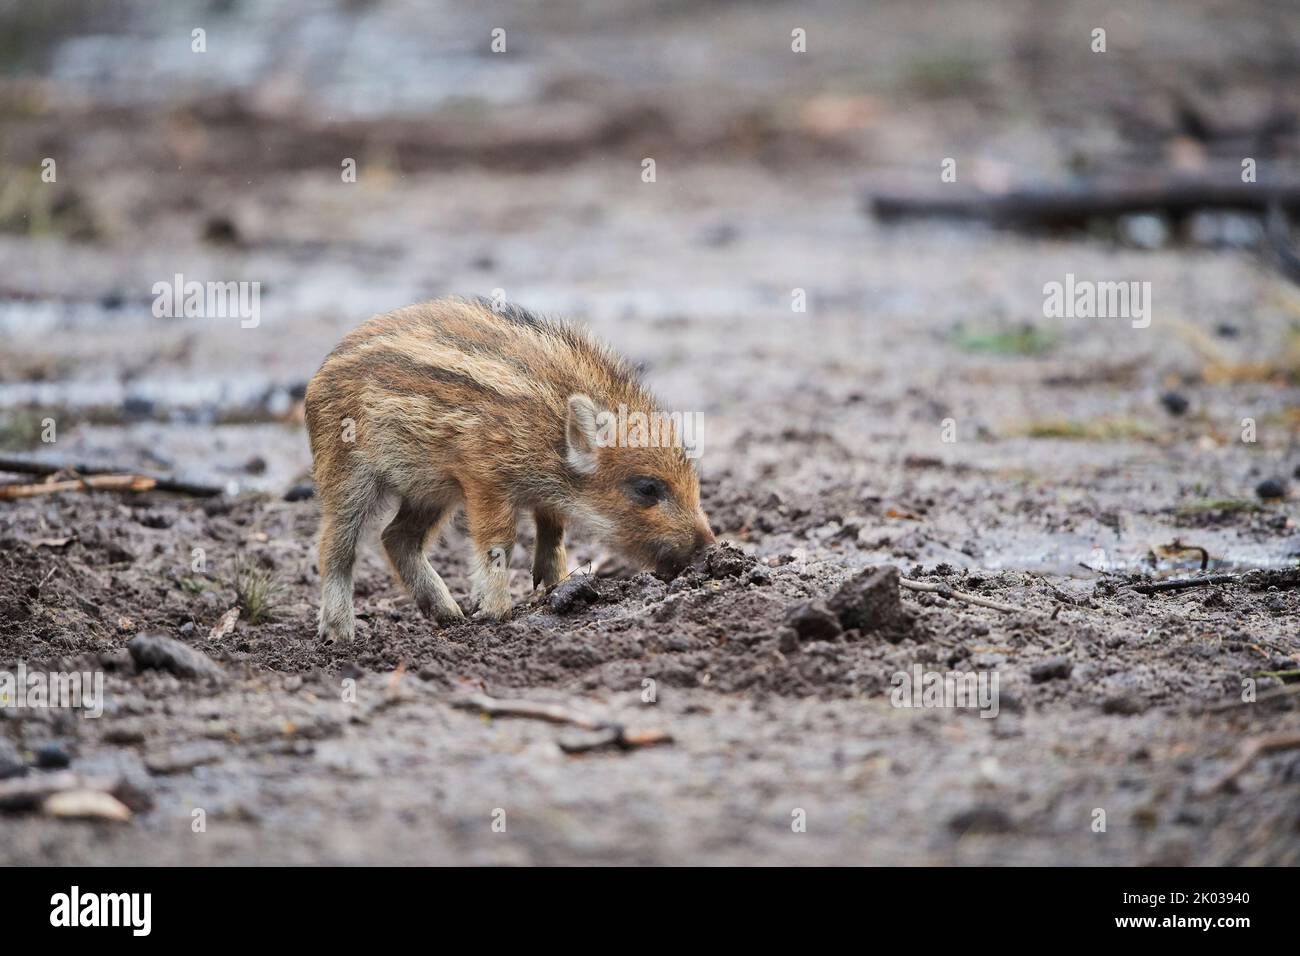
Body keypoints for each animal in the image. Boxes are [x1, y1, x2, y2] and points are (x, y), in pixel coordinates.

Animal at [304, 296, 715, 642]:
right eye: (647, 488)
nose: (708, 549)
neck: (550, 430)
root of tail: (321, 372)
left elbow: (553, 529)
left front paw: (555, 585)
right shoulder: (483, 477)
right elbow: (500, 541)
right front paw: (496, 613)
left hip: (430, 488)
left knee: (397, 537)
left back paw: (449, 614)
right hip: (346, 470)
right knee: (335, 544)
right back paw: (340, 633)